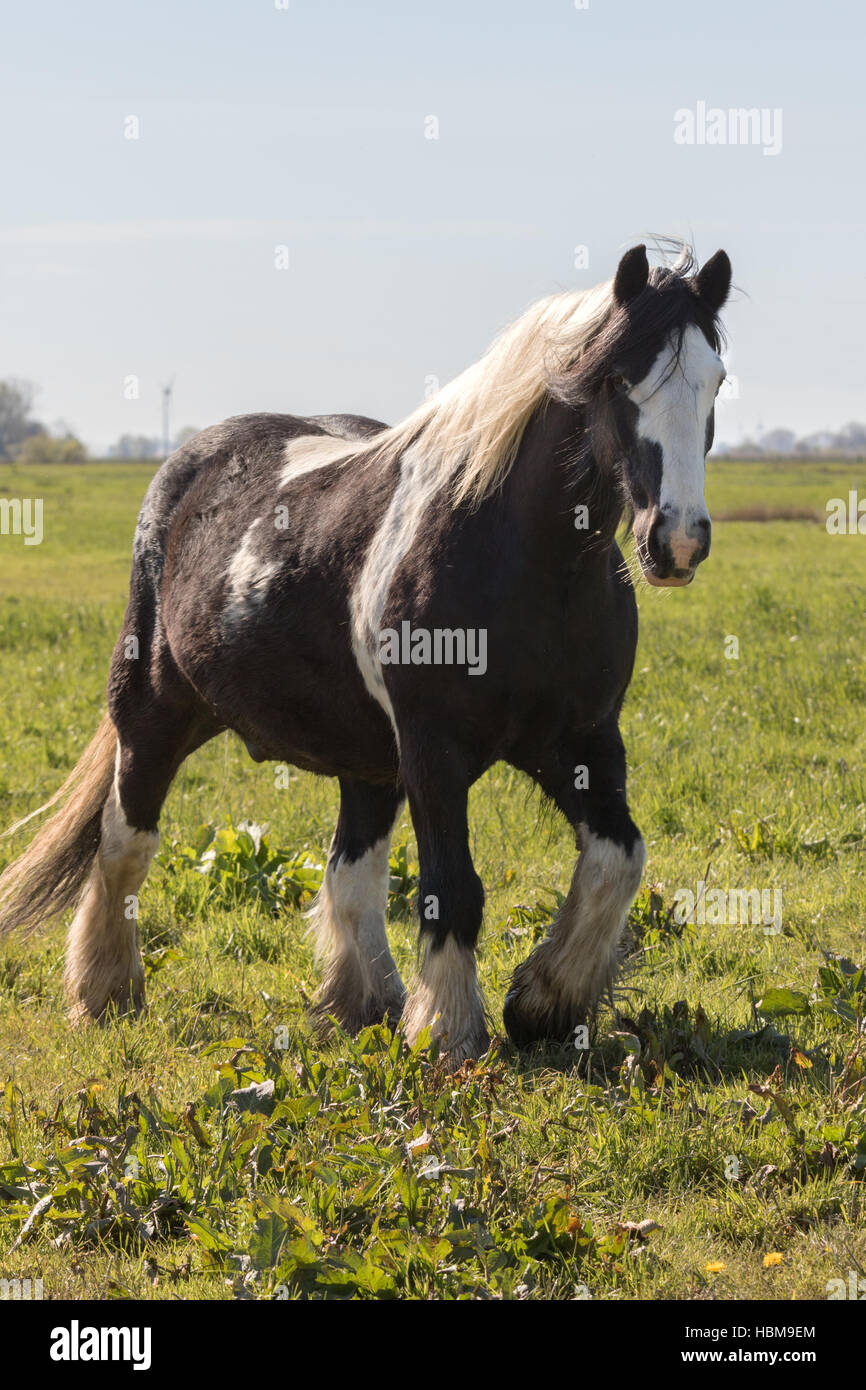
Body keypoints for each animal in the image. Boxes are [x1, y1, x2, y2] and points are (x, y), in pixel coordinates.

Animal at [0, 242, 731, 1064]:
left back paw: (367, 1002)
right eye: (618, 381)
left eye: (715, 381)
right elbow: (454, 886)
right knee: (125, 841)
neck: (526, 561)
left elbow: (619, 859)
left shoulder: (582, 741)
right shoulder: (434, 749)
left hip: (366, 757)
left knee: (349, 870)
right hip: (154, 714)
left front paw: (544, 1001)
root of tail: (185, 468)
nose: (677, 540)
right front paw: (450, 1032)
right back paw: (104, 991)